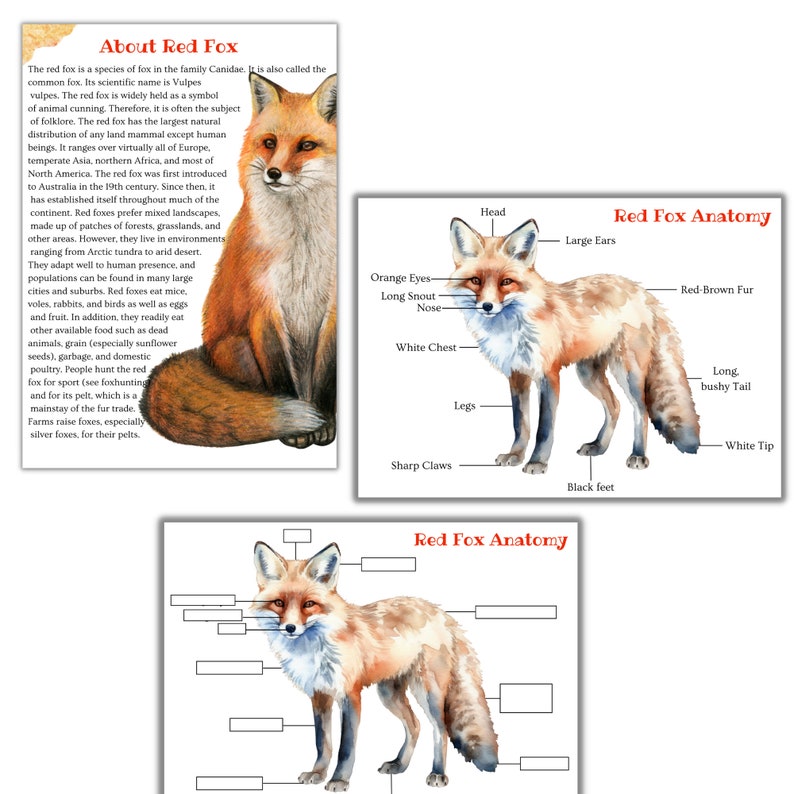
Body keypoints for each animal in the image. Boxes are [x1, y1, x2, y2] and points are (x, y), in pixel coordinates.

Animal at [140, 73, 337, 448]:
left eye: (307, 146)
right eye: (269, 142)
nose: (273, 173)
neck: (303, 243)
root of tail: (204, 353)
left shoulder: (333, 308)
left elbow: (328, 374)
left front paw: (327, 423)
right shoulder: (263, 303)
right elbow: (279, 373)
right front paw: (301, 430)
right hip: (237, 347)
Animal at [251, 542, 498, 791]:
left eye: (309, 604)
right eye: (279, 603)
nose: (290, 628)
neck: (315, 647)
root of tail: (441, 613)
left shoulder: (350, 694)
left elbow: (345, 748)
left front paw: (339, 779)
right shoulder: (319, 694)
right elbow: (323, 743)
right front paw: (318, 773)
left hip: (428, 692)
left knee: (441, 729)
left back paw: (437, 772)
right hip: (388, 694)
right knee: (415, 725)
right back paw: (399, 765)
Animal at [448, 217, 700, 472]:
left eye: (506, 282)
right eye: (476, 281)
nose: (487, 306)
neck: (512, 326)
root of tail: (640, 290)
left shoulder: (548, 375)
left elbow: (543, 429)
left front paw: (537, 461)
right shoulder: (517, 374)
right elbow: (520, 424)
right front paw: (516, 455)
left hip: (628, 371)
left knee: (642, 410)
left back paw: (638, 454)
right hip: (588, 374)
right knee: (615, 406)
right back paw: (599, 446)